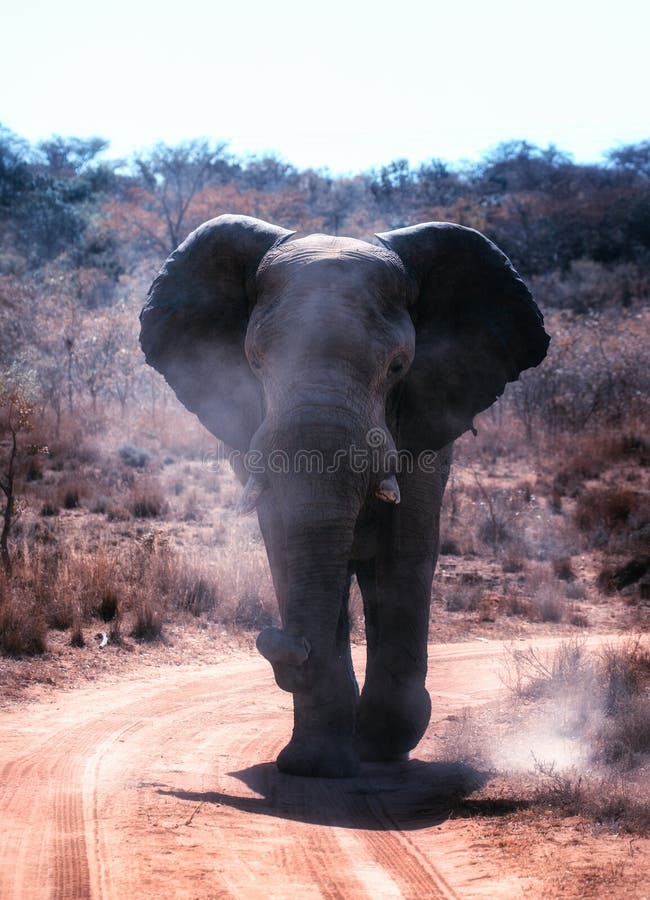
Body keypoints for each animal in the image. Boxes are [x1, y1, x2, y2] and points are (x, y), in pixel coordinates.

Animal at [139, 214, 549, 778]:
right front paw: (313, 765)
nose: (277, 640)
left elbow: (404, 555)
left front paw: (382, 743)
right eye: (254, 363)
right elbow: (288, 546)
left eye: (398, 367)